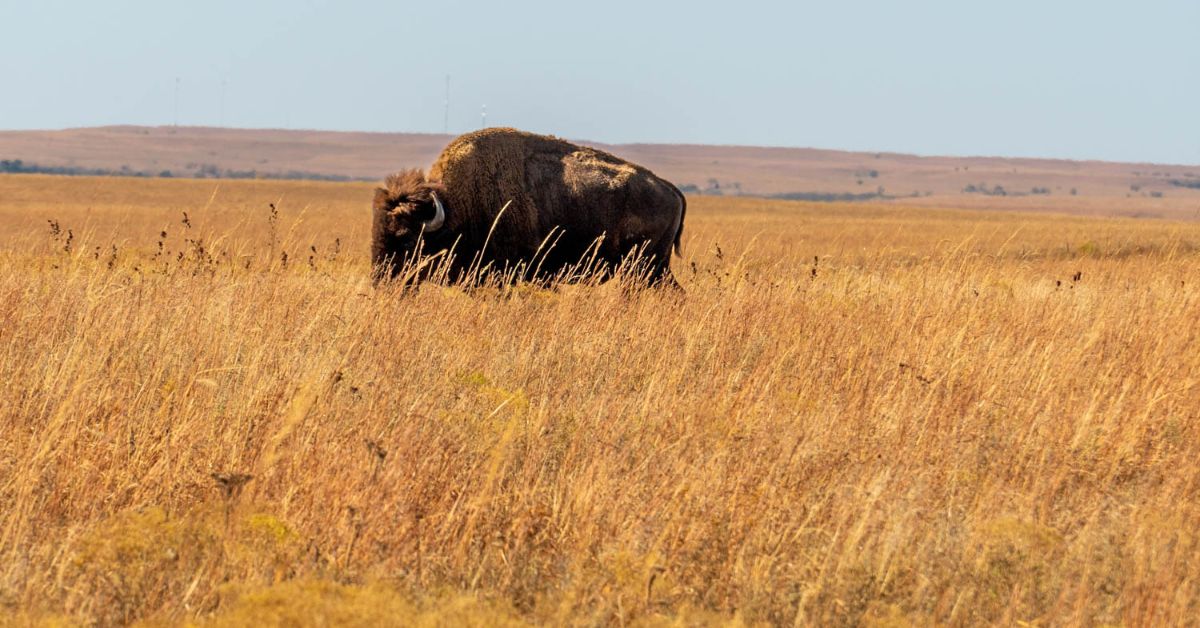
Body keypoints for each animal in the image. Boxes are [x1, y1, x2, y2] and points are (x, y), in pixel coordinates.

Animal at [371, 127, 686, 287]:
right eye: (375, 233)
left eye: (407, 239)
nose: (380, 280)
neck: (456, 205)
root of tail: (670, 188)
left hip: (648, 268)